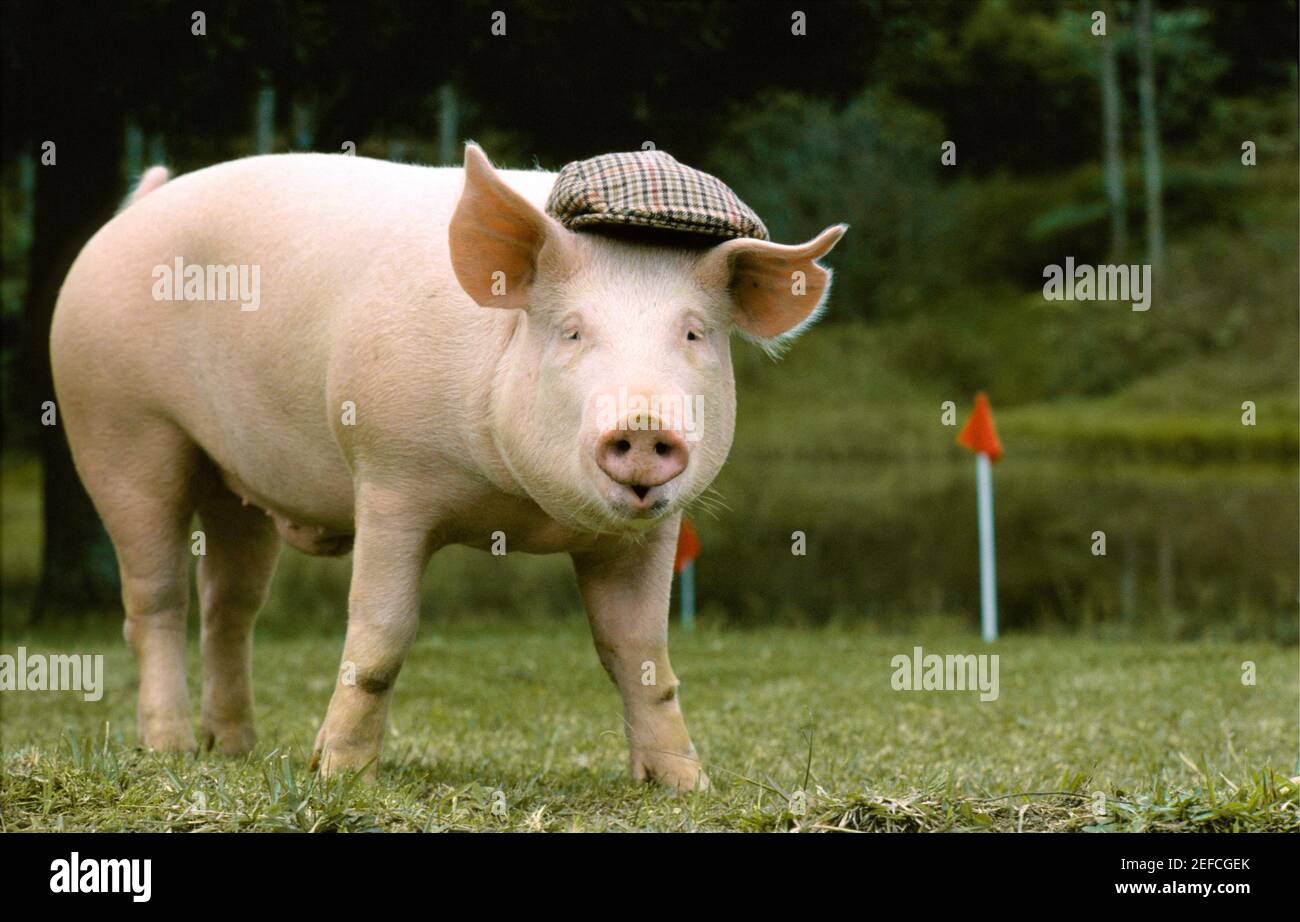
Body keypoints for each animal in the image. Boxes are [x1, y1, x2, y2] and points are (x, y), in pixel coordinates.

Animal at [50, 144, 845, 790]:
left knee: (230, 605)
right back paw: (172, 749)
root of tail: (140, 206)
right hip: (117, 424)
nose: (646, 425)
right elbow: (381, 636)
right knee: (155, 600)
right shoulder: (389, 479)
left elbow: (642, 656)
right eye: (572, 331)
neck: (518, 509)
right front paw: (338, 773)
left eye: (694, 334)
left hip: (232, 478)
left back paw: (238, 748)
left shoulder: (651, 533)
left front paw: (685, 786)